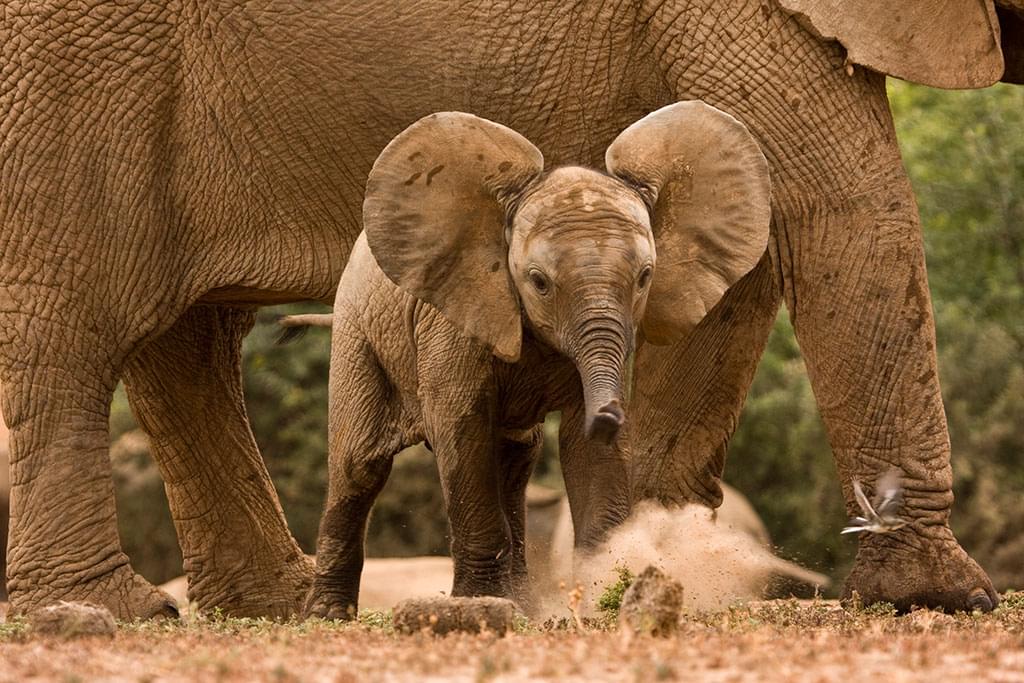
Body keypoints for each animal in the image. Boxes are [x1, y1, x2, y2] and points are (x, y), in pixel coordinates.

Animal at [288, 104, 771, 617]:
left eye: (645, 277)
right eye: (538, 282)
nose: (611, 415)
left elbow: (583, 450)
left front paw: (602, 594)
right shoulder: (456, 317)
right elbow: (460, 432)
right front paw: (479, 601)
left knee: (515, 461)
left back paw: (520, 597)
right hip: (357, 333)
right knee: (358, 466)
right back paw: (328, 613)